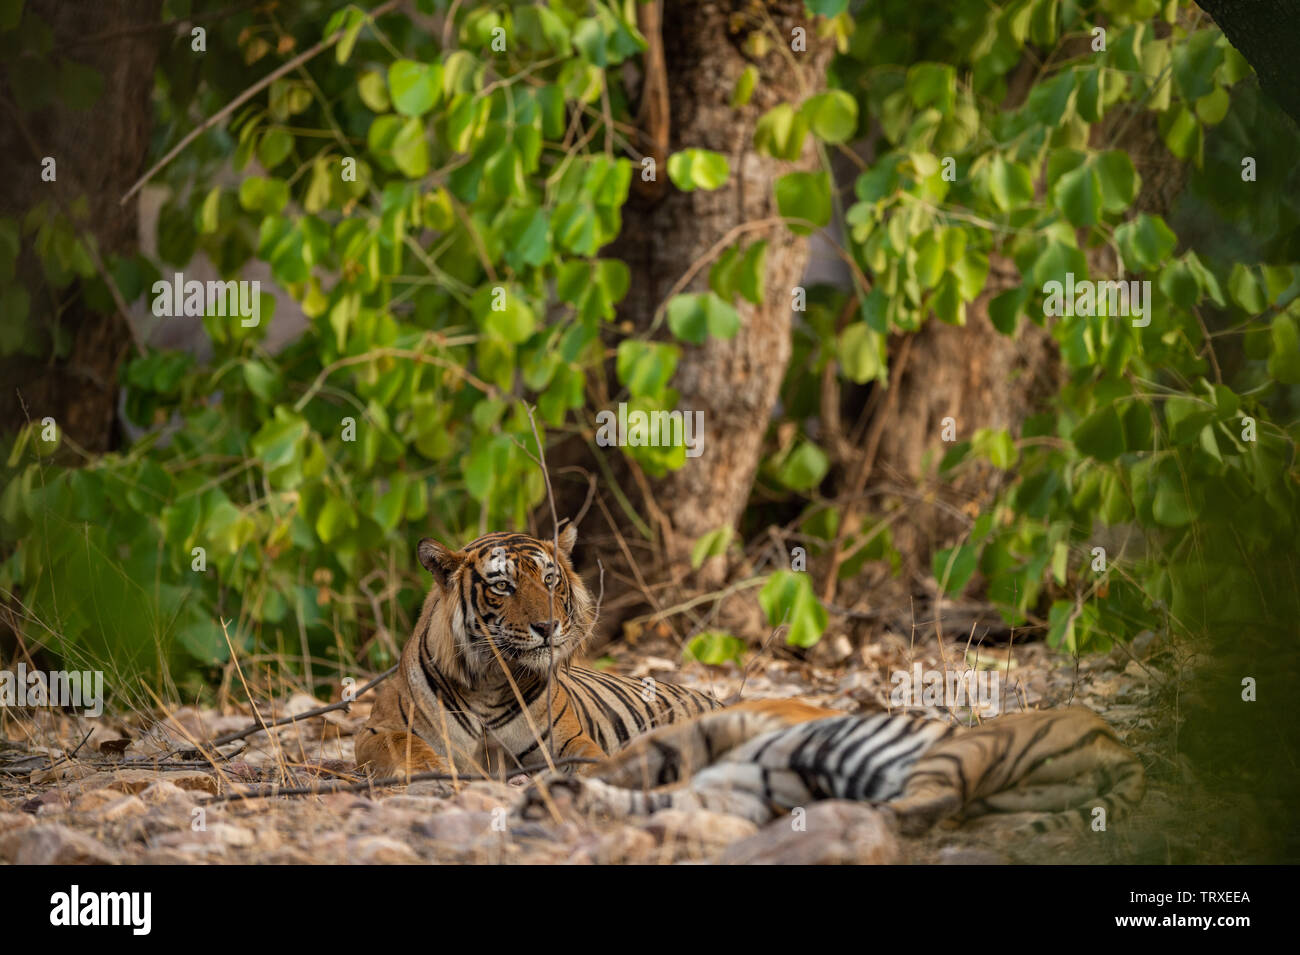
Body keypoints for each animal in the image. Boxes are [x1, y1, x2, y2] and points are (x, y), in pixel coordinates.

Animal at [354, 524, 718, 779]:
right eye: (503, 586)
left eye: (550, 580)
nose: (547, 626)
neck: (487, 681)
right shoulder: (376, 729)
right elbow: (403, 744)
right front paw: (432, 769)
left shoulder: (566, 741)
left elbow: (590, 759)